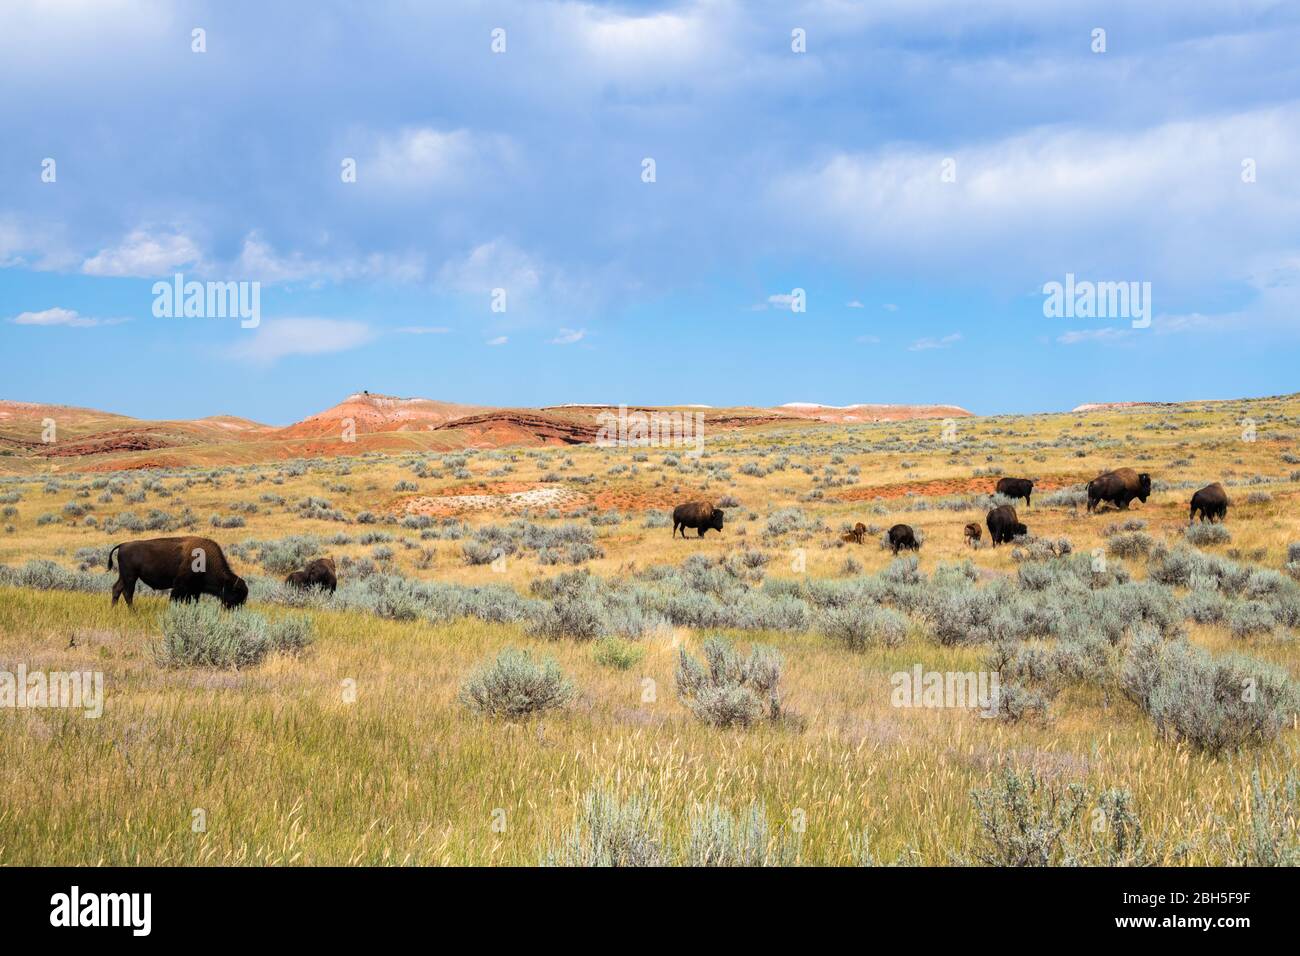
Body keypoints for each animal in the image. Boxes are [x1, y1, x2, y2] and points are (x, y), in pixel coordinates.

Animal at [108, 536, 248, 609]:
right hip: (130, 577)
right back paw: (133, 611)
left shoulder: (194, 590)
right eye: (236, 594)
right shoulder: (180, 587)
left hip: (124, 576)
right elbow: (174, 599)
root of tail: (123, 545)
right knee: (128, 593)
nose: (235, 609)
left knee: (117, 589)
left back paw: (114, 609)